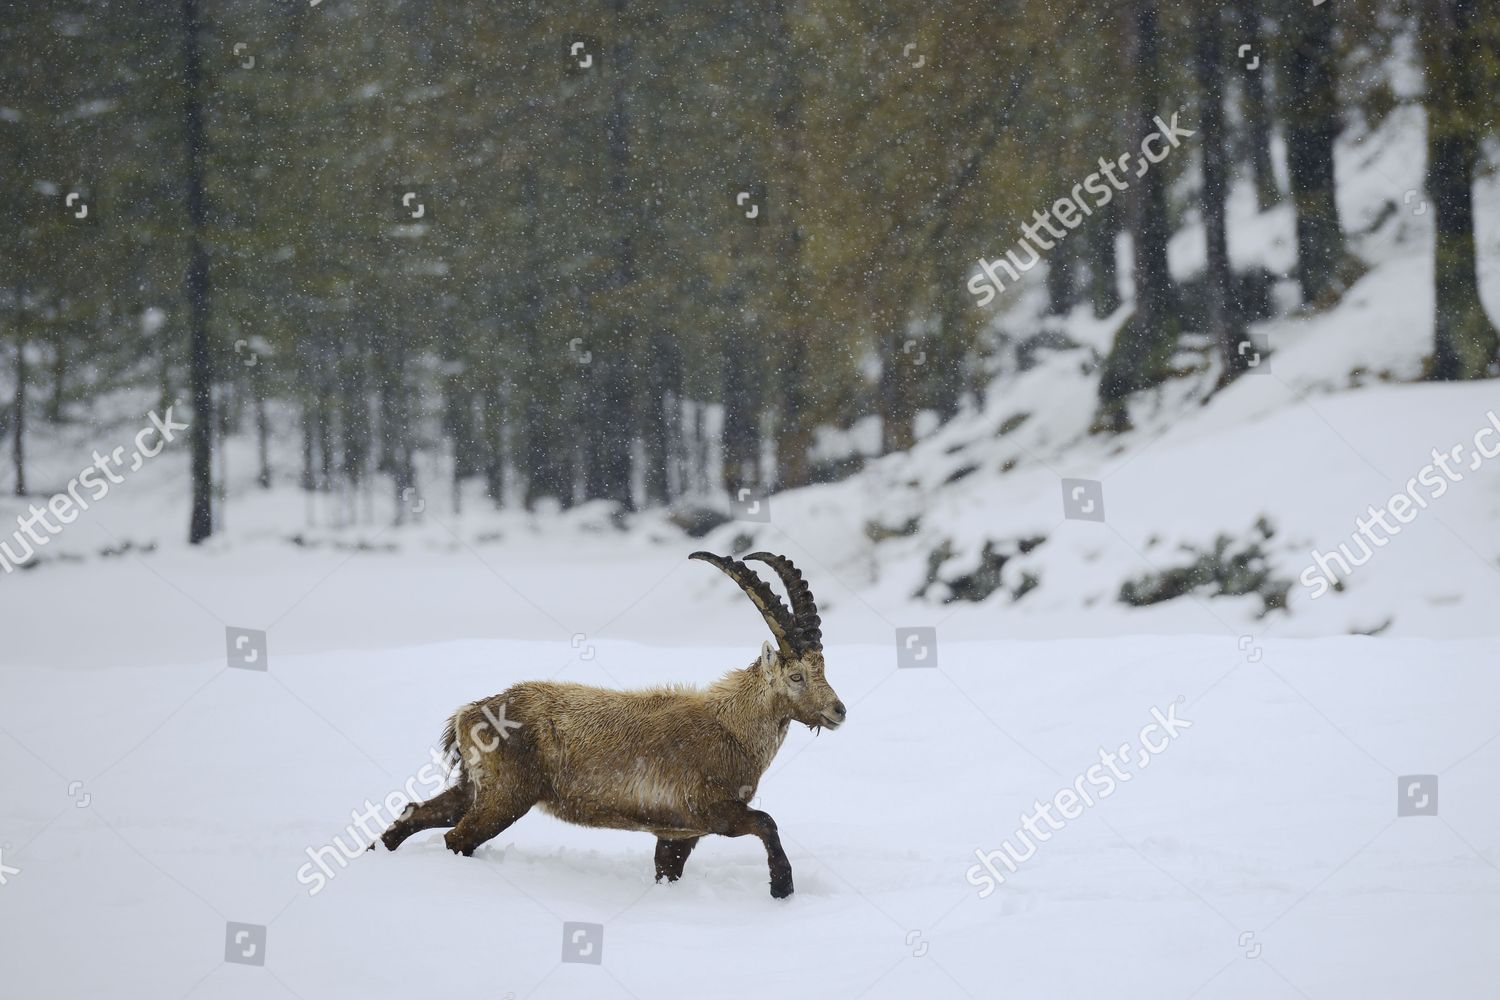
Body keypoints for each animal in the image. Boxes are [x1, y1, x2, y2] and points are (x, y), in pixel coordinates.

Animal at [371, 550, 846, 898]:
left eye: (823, 667)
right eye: (796, 676)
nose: (839, 710)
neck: (732, 728)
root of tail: (468, 713)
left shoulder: (678, 833)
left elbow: (667, 870)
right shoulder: (712, 811)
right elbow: (766, 822)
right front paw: (782, 888)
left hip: (476, 786)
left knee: (417, 812)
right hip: (507, 795)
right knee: (457, 838)